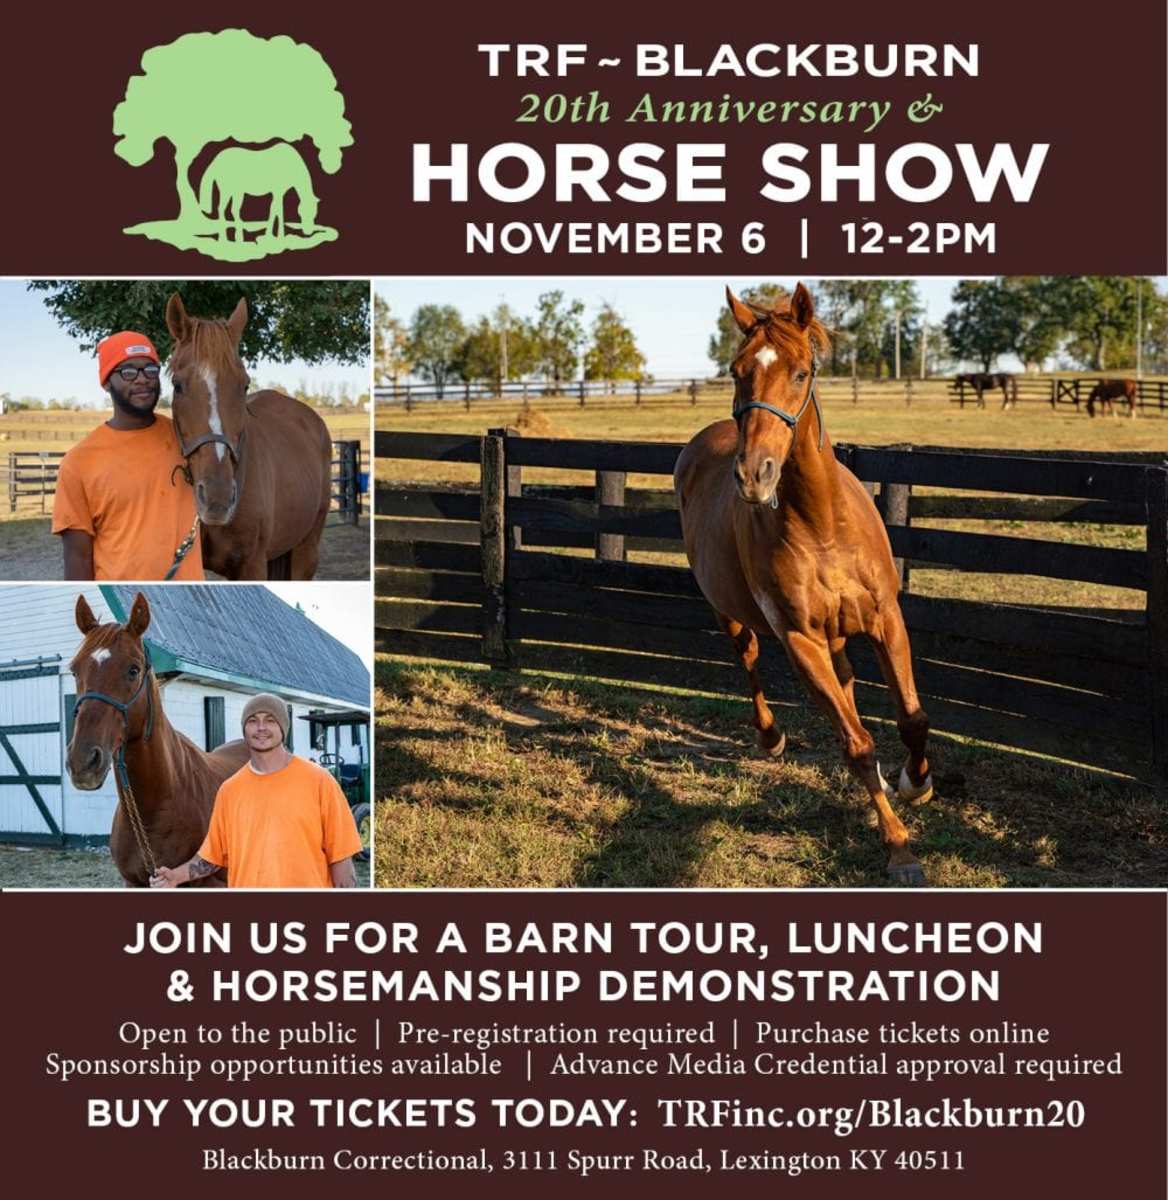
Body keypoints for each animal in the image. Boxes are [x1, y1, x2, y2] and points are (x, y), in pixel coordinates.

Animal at [674, 285, 934, 886]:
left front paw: (916, 783)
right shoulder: (801, 641)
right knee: (750, 661)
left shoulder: (887, 620)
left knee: (849, 686)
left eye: (800, 372)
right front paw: (899, 847)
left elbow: (912, 719)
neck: (823, 527)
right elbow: (856, 745)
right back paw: (770, 737)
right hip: (731, 614)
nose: (754, 474)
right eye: (736, 370)